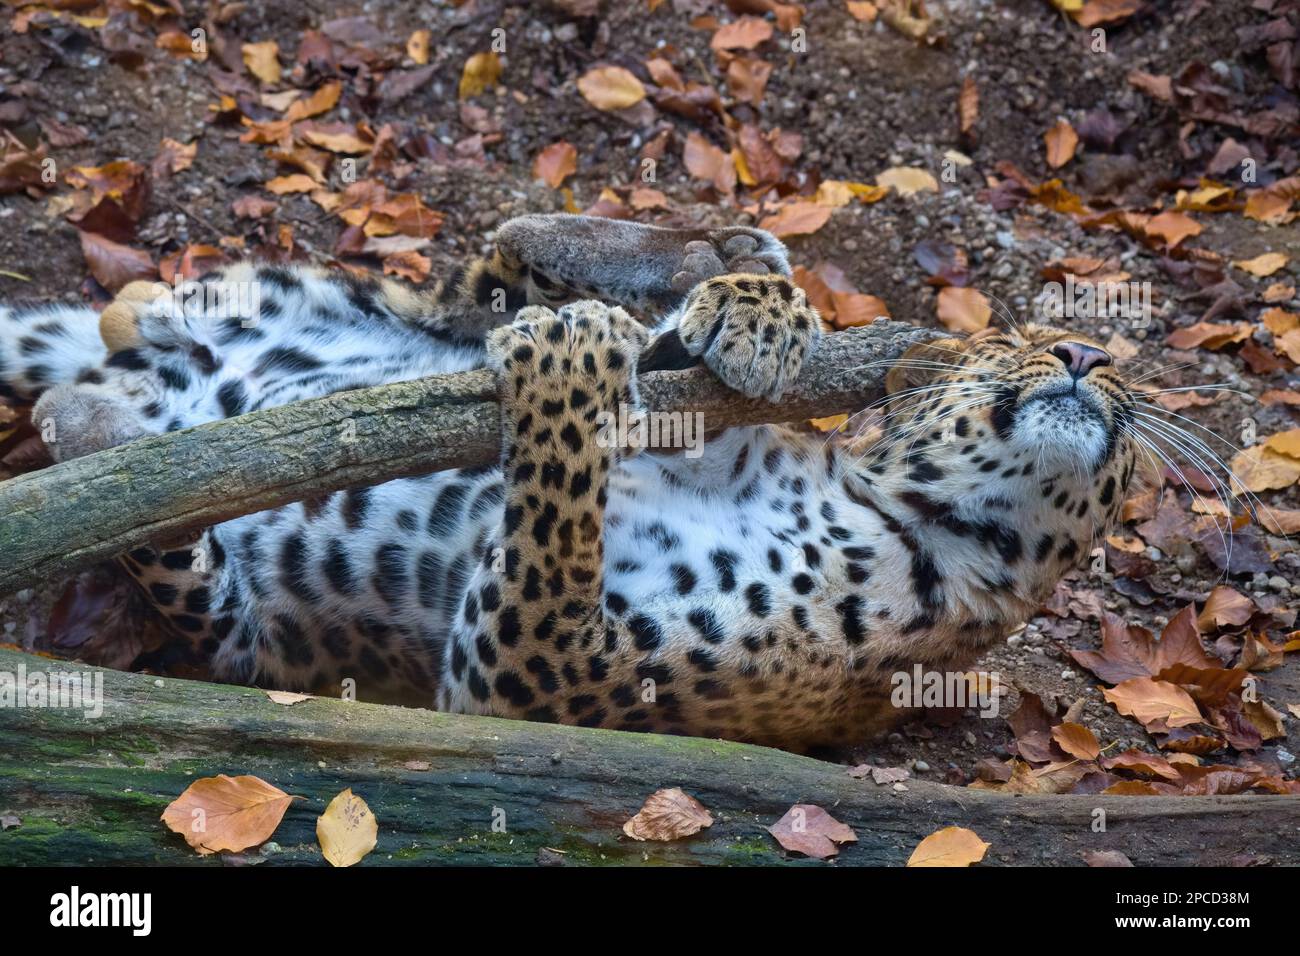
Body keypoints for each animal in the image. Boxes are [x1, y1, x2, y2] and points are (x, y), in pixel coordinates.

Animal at [0, 213, 1140, 751]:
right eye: (1006, 342)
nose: (1085, 350)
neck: (895, 508)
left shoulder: (535, 677)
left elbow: (558, 522)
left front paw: (569, 369)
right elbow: (658, 378)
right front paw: (749, 315)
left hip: (238, 632)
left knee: (161, 526)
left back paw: (88, 426)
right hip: (373, 298)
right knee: (494, 256)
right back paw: (725, 256)